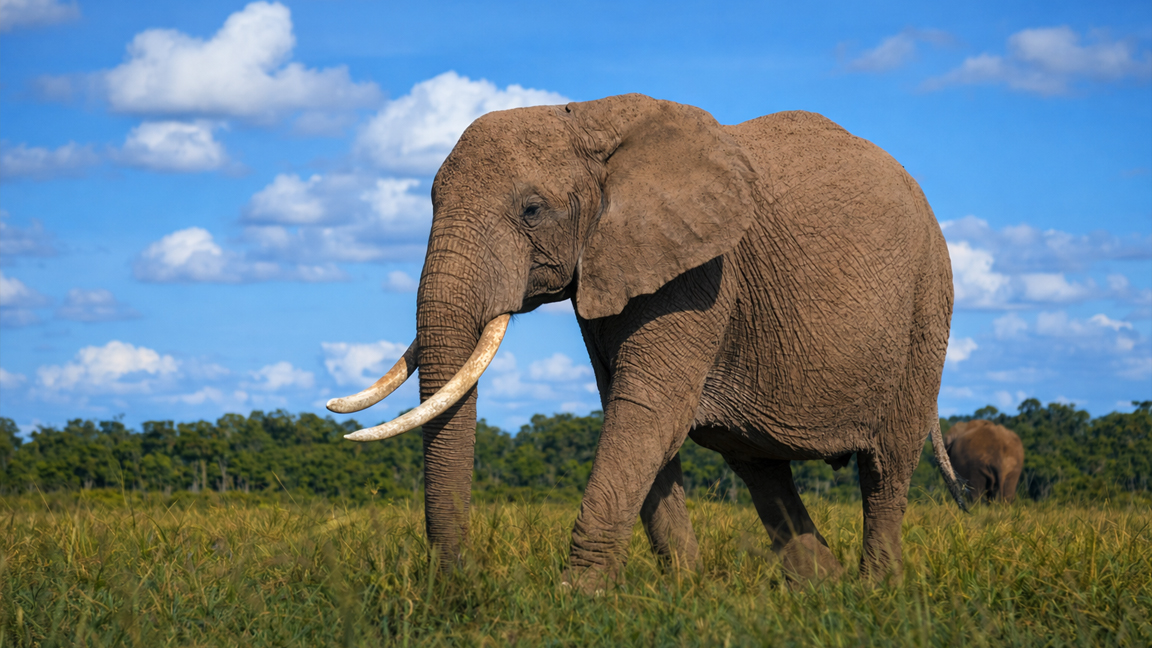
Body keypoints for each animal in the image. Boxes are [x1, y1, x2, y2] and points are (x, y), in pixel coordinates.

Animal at [326, 93, 966, 591]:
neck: (586, 116)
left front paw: (577, 599)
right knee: (761, 468)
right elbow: (631, 410)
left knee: (887, 462)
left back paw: (874, 591)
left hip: (927, 303)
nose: (460, 581)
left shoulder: (701, 273)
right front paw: (685, 592)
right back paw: (820, 591)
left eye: (531, 210)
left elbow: (647, 411)